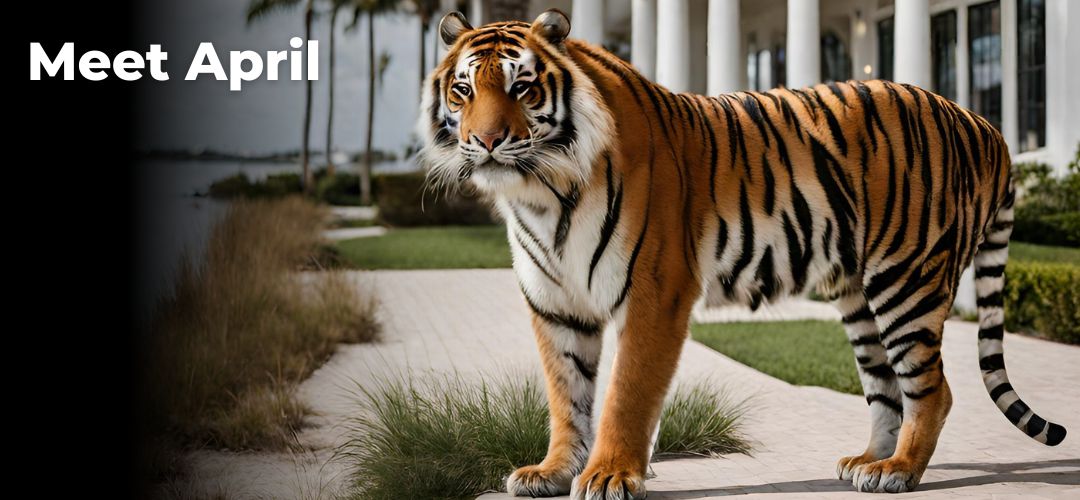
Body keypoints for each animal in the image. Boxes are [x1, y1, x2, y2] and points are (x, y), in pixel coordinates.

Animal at [417, 8, 1067, 498]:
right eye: (463, 89)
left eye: (522, 87)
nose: (485, 141)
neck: (541, 192)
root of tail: (983, 122)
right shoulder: (555, 304)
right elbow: (566, 395)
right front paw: (553, 471)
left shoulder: (654, 294)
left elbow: (626, 393)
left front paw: (608, 475)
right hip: (859, 294)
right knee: (885, 386)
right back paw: (867, 463)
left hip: (906, 277)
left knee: (932, 386)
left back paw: (900, 472)